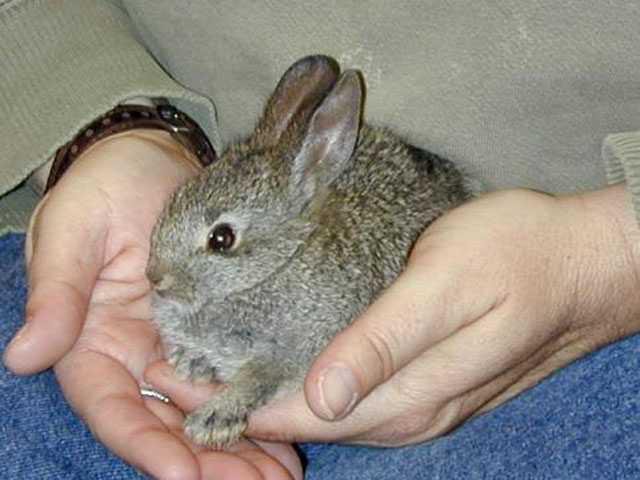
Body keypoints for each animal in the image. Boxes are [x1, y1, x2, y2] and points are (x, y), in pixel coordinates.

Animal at [146, 54, 475, 448]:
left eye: (222, 239)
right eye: (176, 198)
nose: (155, 277)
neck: (278, 264)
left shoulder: (296, 349)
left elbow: (259, 377)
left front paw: (213, 419)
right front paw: (190, 363)